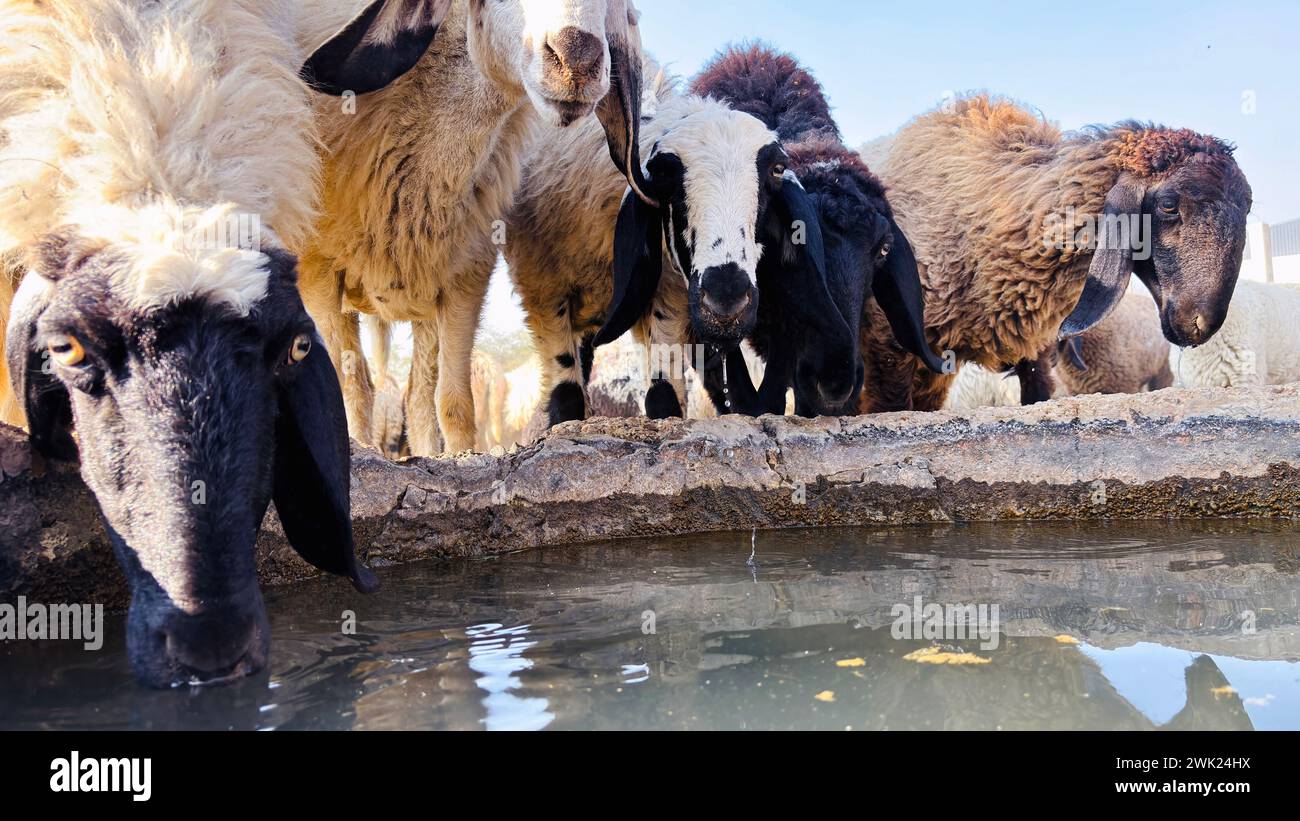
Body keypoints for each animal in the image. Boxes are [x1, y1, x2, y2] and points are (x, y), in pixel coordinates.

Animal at [295, 0, 653, 456]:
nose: (577, 61)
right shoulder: (318, 273)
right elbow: (351, 388)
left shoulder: (466, 276)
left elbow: (453, 402)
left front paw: (459, 457)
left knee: (418, 395)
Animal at [505, 53, 859, 427]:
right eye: (663, 172)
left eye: (776, 170)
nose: (726, 299)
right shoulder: (543, 293)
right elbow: (566, 399)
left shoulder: (668, 299)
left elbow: (664, 398)